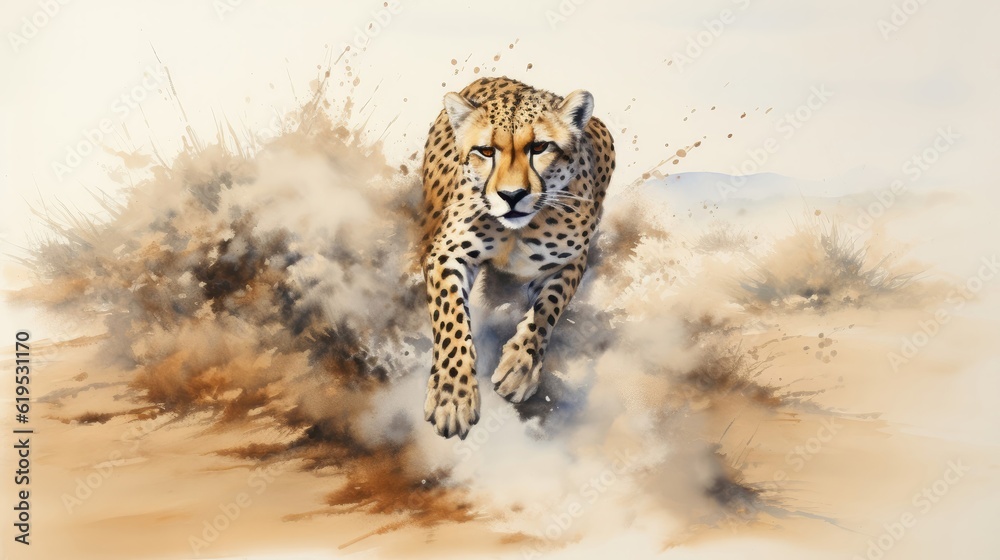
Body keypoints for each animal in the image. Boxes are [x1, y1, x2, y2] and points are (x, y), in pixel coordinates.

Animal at [417, 76, 616, 439]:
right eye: (485, 151)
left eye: (539, 147)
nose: (512, 196)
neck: (516, 230)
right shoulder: (447, 253)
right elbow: (452, 319)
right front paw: (452, 396)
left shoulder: (571, 261)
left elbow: (547, 308)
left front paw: (521, 368)